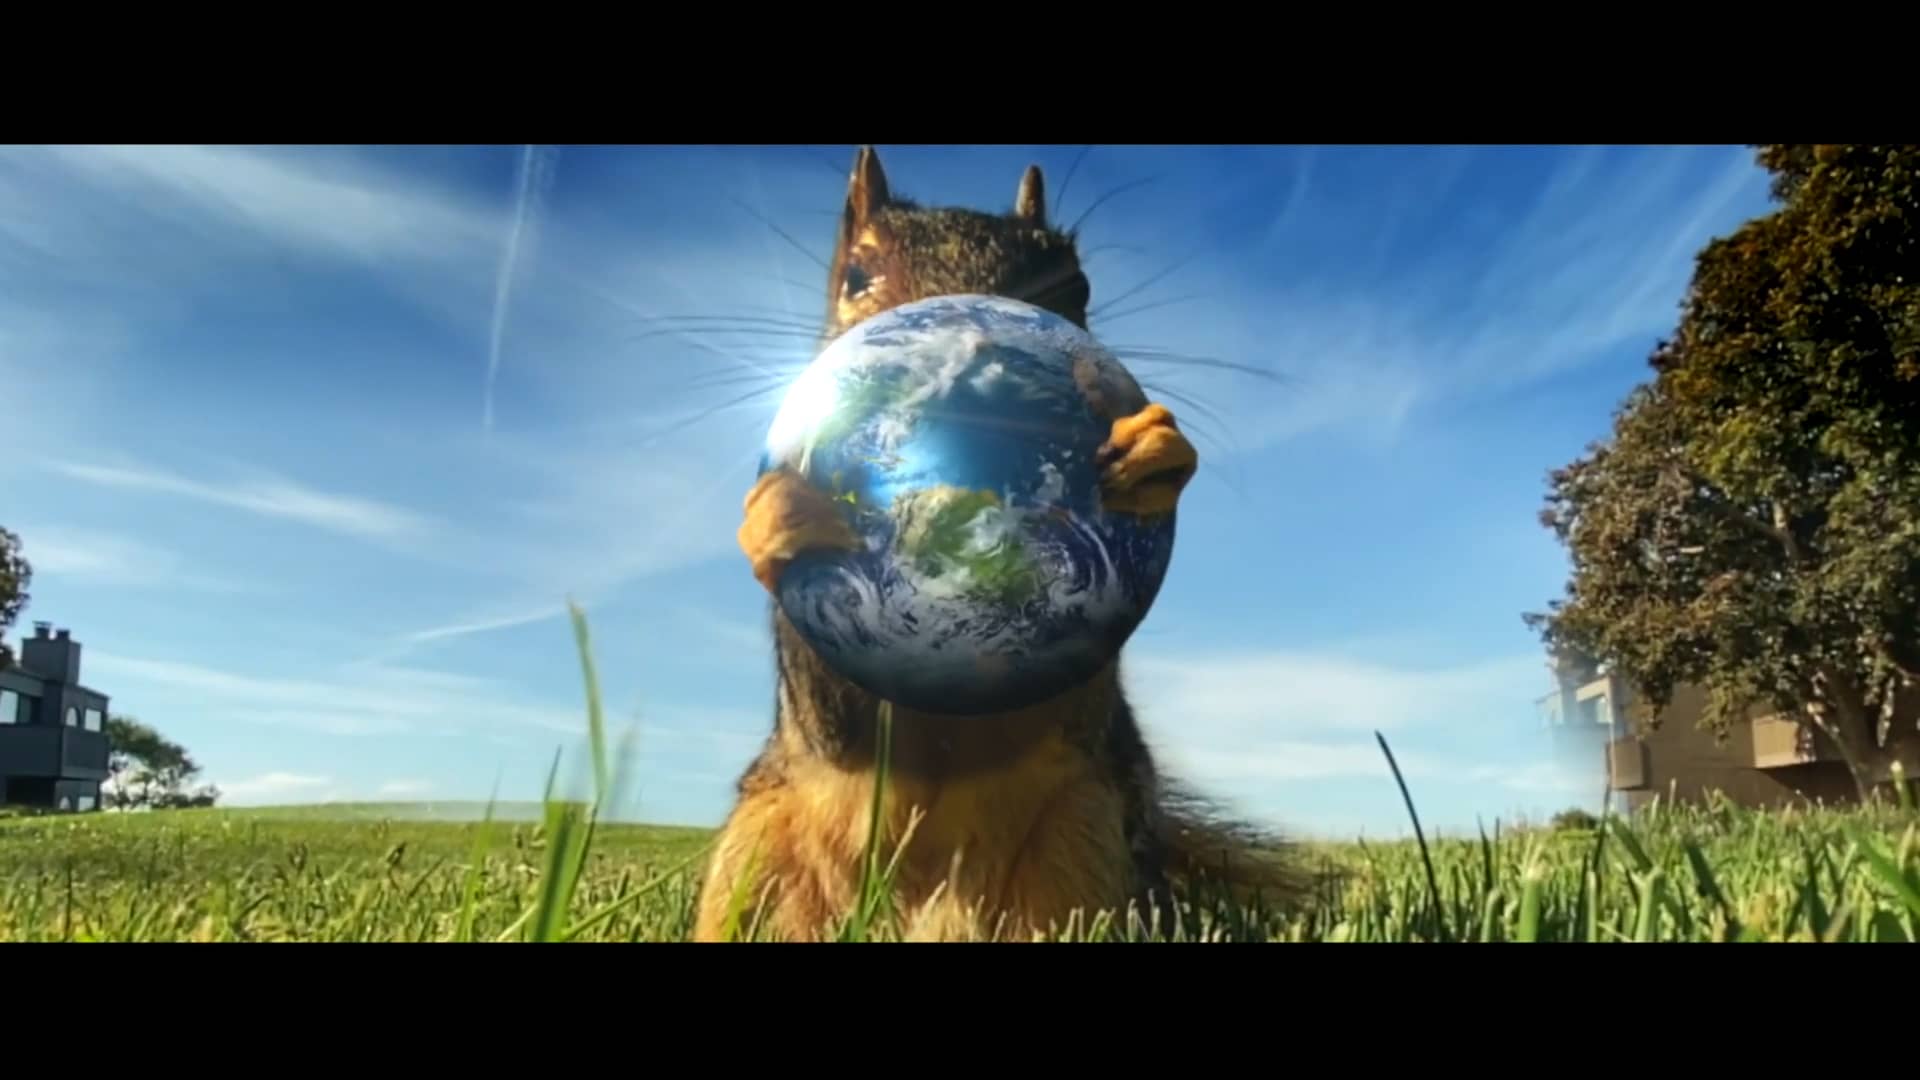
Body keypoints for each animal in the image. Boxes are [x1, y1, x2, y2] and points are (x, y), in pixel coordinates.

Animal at [692, 146, 1306, 941]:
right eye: (855, 276)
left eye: (1078, 284)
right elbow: (833, 713)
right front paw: (779, 513)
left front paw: (1155, 453)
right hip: (755, 857)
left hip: (1084, 845)